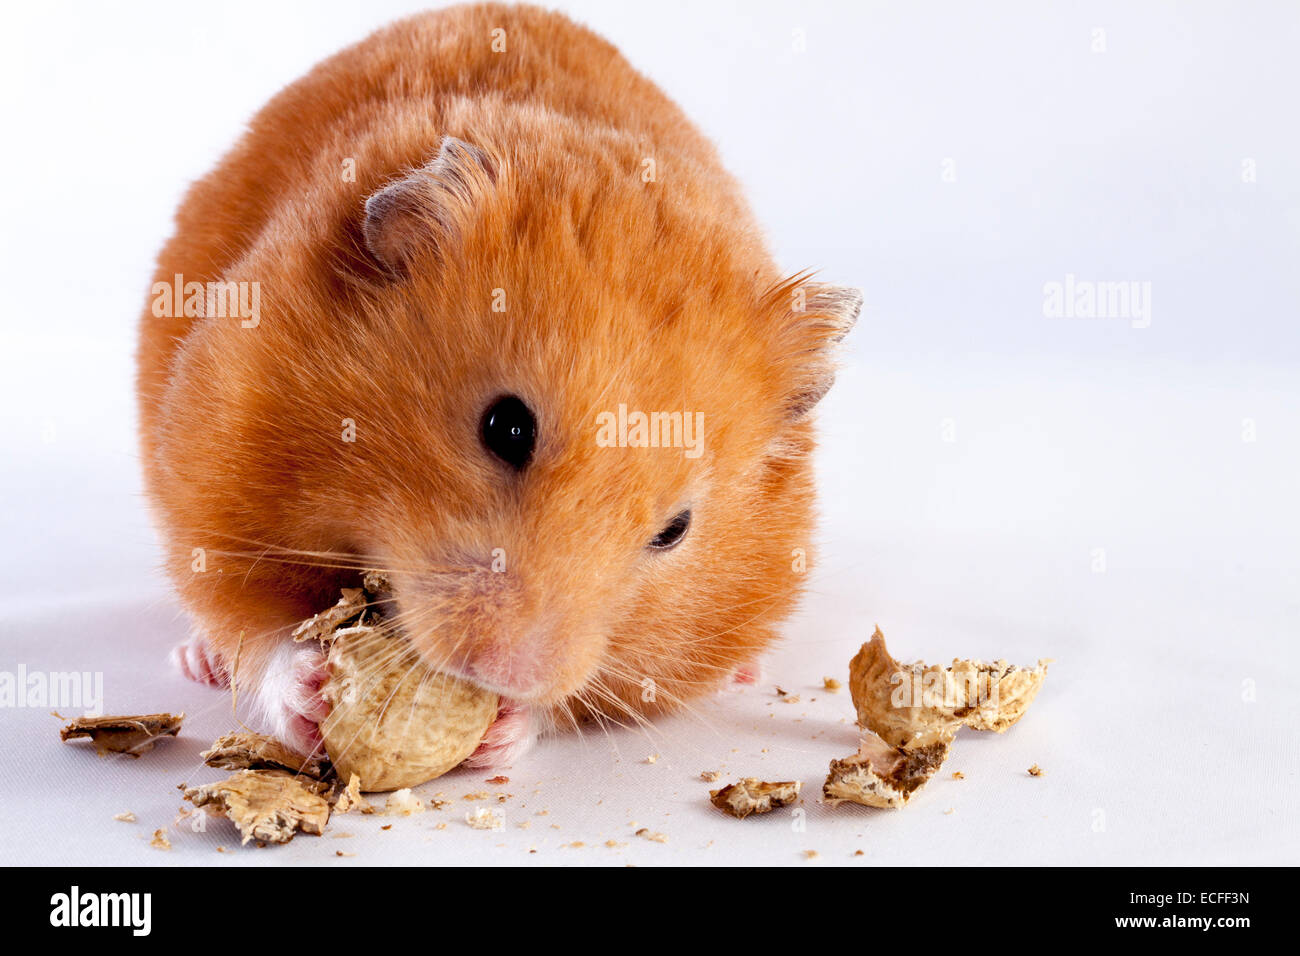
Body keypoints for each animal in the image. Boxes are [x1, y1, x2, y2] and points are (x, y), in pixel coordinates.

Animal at [137, 3, 860, 765]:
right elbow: (253, 621)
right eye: (506, 429)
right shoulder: (216, 469)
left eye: (675, 530)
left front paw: (504, 729)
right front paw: (312, 694)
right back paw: (197, 662)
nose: (501, 672)